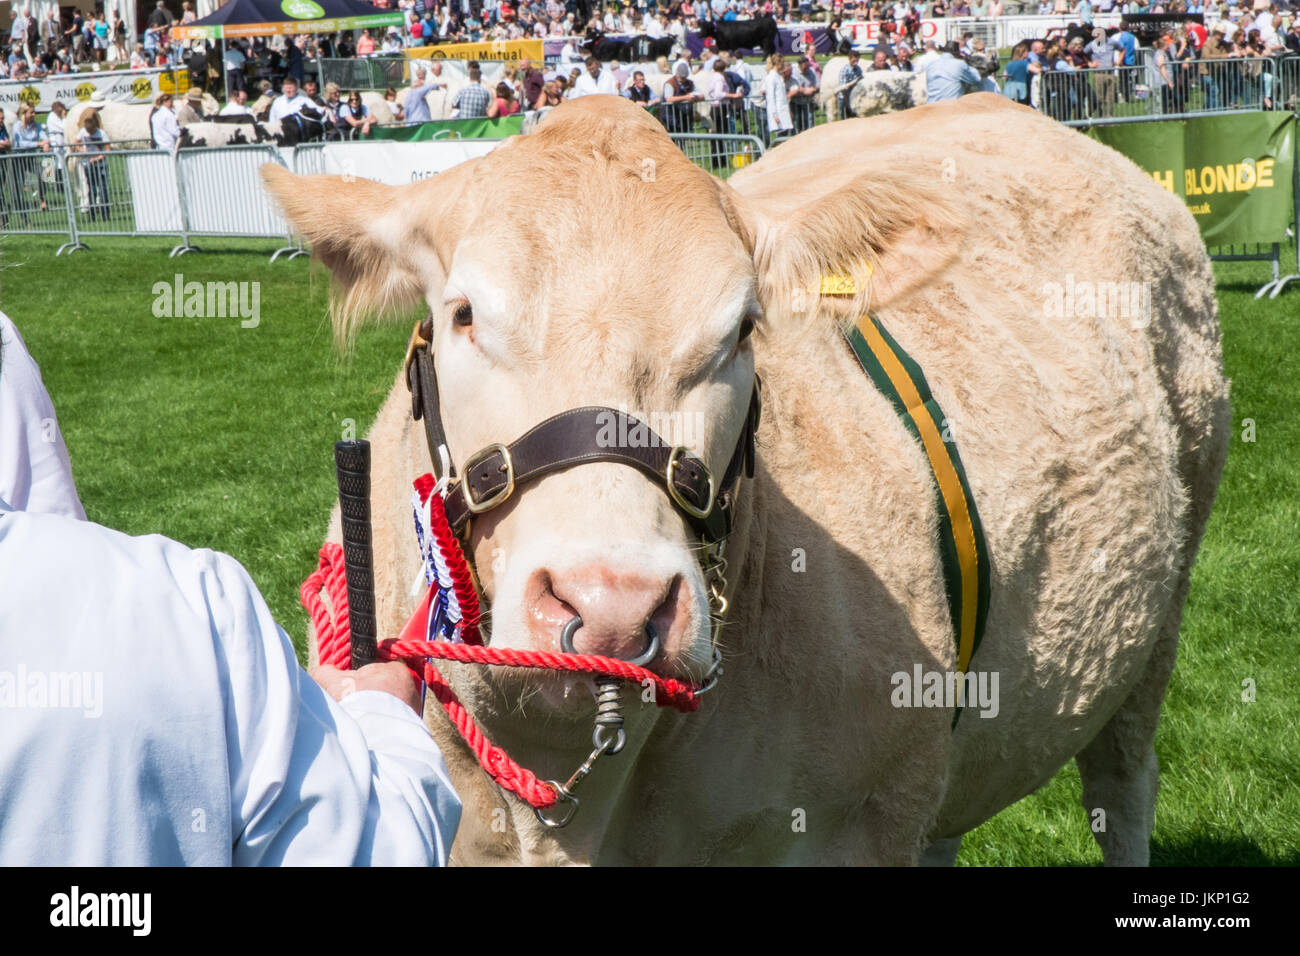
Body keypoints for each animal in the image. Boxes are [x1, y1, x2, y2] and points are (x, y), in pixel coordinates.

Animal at [267, 94, 1229, 865]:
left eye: (740, 330)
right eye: (464, 314)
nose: (612, 606)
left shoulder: (865, 817)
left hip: (1157, 619)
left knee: (1121, 785)